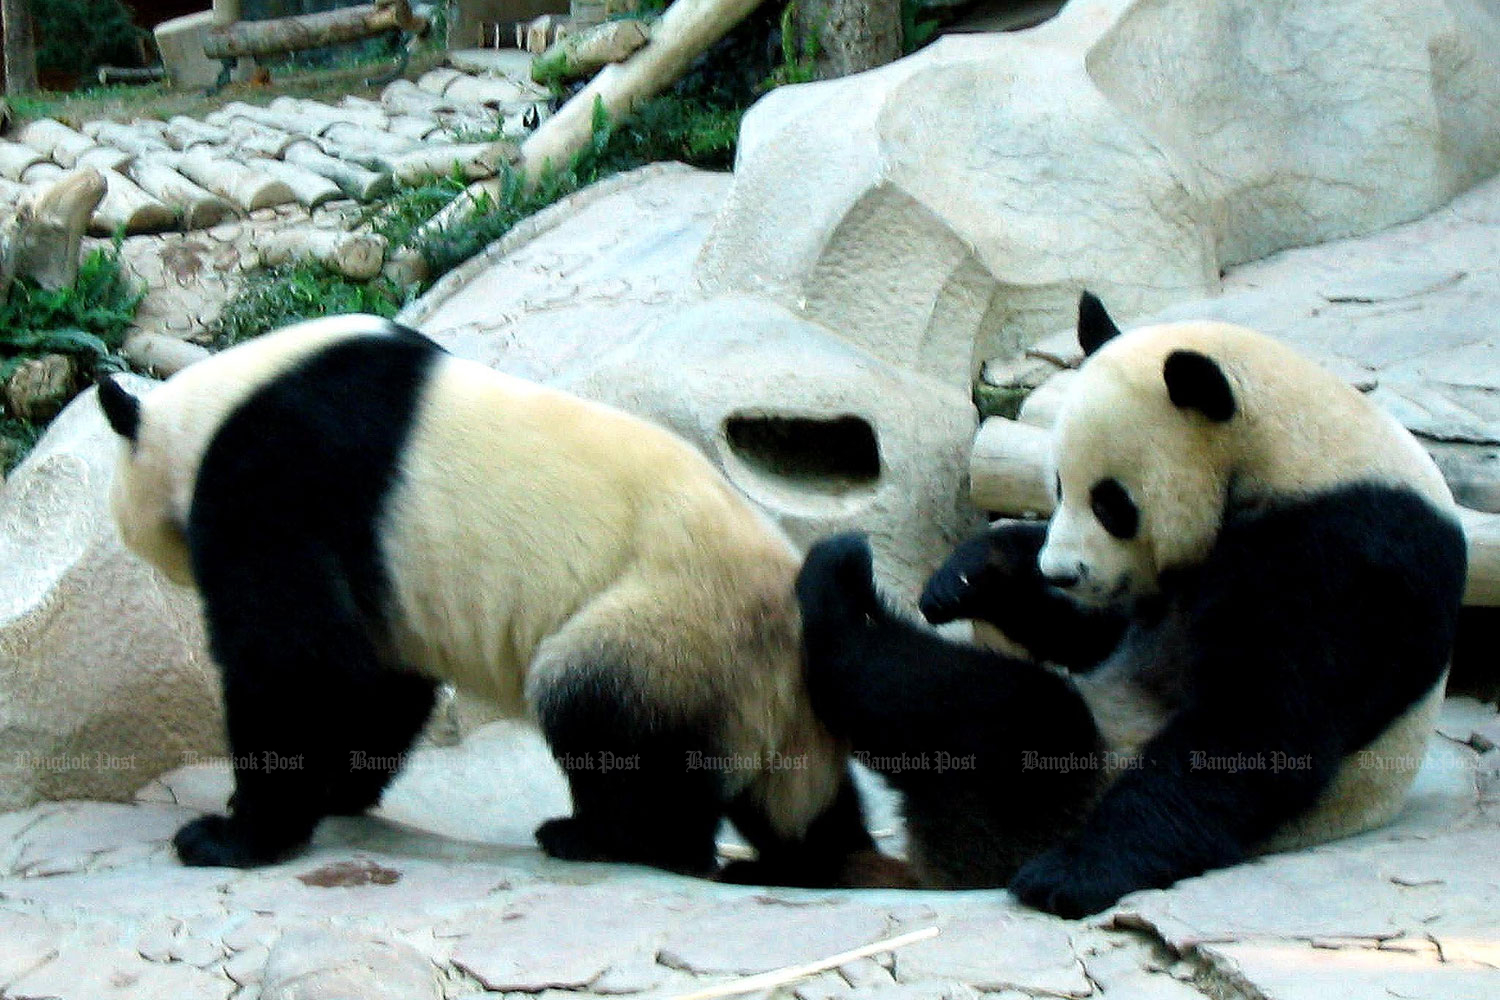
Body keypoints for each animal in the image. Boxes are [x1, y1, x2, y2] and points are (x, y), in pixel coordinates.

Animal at [98, 314, 879, 885]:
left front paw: (231, 833)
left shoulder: (285, 472)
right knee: (794, 798)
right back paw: (815, 852)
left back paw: (600, 836)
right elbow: (377, 676)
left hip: (672, 624)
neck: (218, 403)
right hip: (756, 692)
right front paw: (336, 790)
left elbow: (297, 661)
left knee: (604, 716)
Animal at [795, 293, 1467, 916]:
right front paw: (968, 575)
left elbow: (1259, 724)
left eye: (1112, 503)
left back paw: (840, 598)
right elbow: (1095, 633)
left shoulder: (1354, 551)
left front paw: (1070, 876)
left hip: (1067, 785)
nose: (1060, 572)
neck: (1292, 450)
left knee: (1005, 712)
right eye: (1057, 484)